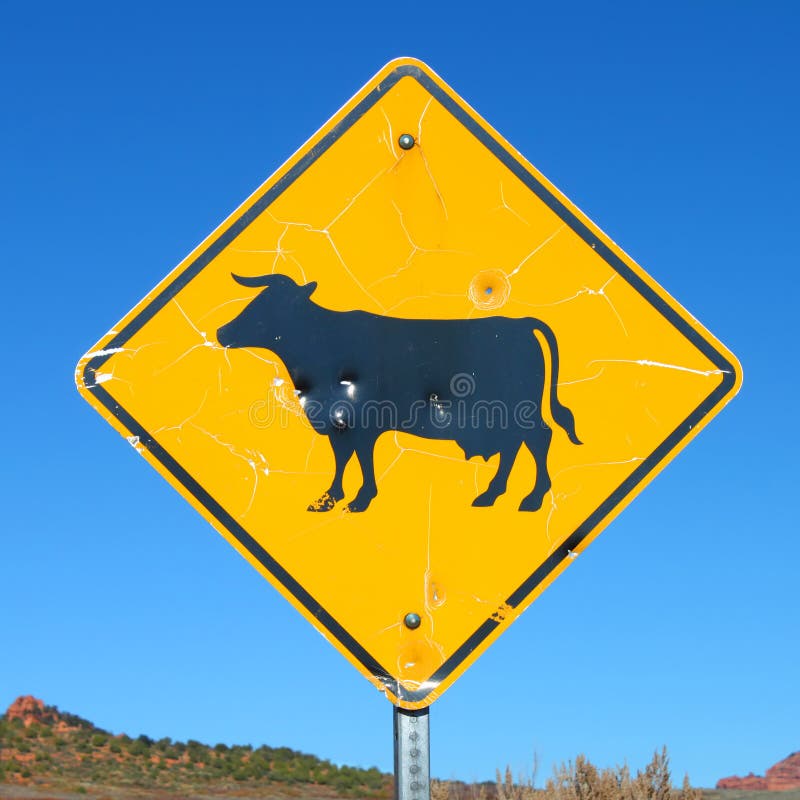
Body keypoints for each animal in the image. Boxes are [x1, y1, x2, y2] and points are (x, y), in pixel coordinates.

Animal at [217, 273, 581, 513]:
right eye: (258, 300)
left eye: (268, 306)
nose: (221, 332)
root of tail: (519, 322)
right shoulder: (338, 423)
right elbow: (341, 457)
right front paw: (329, 498)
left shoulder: (362, 422)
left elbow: (360, 458)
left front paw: (361, 499)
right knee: (514, 446)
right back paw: (491, 495)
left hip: (520, 407)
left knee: (537, 439)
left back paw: (532, 498)